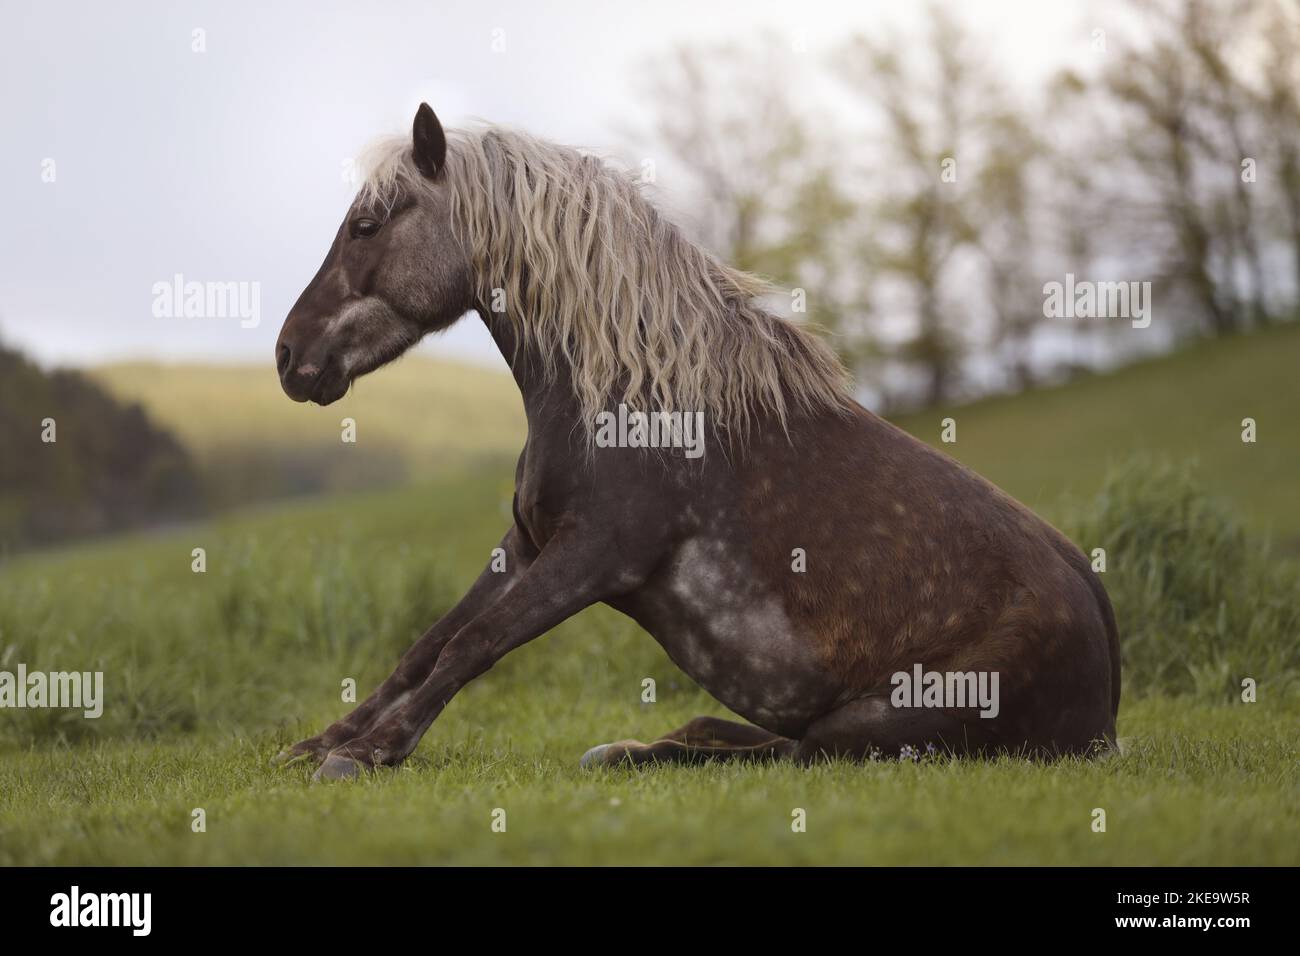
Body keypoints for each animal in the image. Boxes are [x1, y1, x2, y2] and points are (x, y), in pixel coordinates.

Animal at [273, 104, 1120, 781]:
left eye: (368, 225)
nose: (288, 356)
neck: (634, 400)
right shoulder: (526, 542)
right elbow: (427, 645)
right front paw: (324, 741)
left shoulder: (593, 557)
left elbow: (473, 645)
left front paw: (367, 753)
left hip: (873, 727)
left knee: (792, 751)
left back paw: (633, 753)